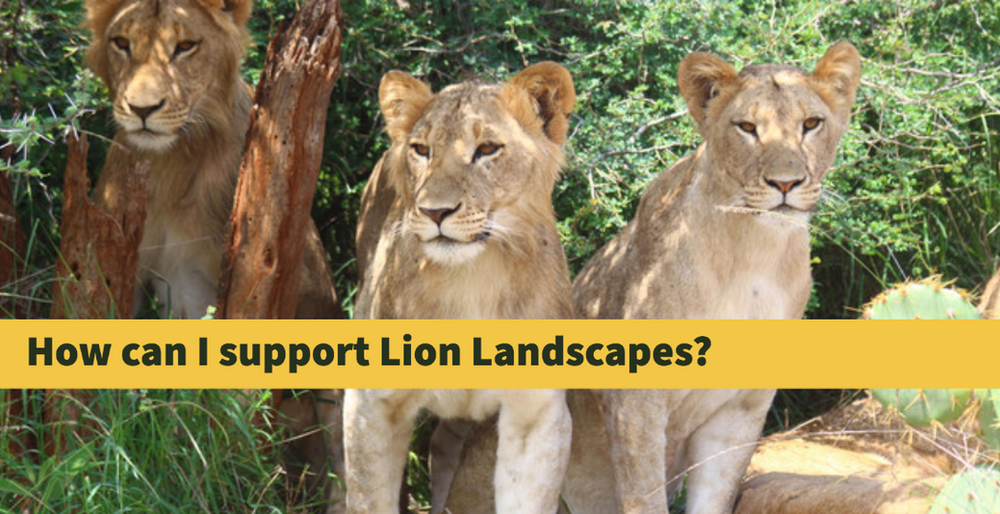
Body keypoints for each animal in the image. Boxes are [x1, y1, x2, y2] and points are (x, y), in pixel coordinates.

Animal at [343, 62, 577, 514]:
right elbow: (367, 498)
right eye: (421, 150)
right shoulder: (371, 403)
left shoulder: (537, 412)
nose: (435, 211)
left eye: (487, 149)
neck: (472, 280)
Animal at [444, 42, 862, 514]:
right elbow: (645, 497)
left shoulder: (741, 410)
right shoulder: (636, 402)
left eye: (811, 124)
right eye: (747, 127)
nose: (786, 183)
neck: (756, 254)